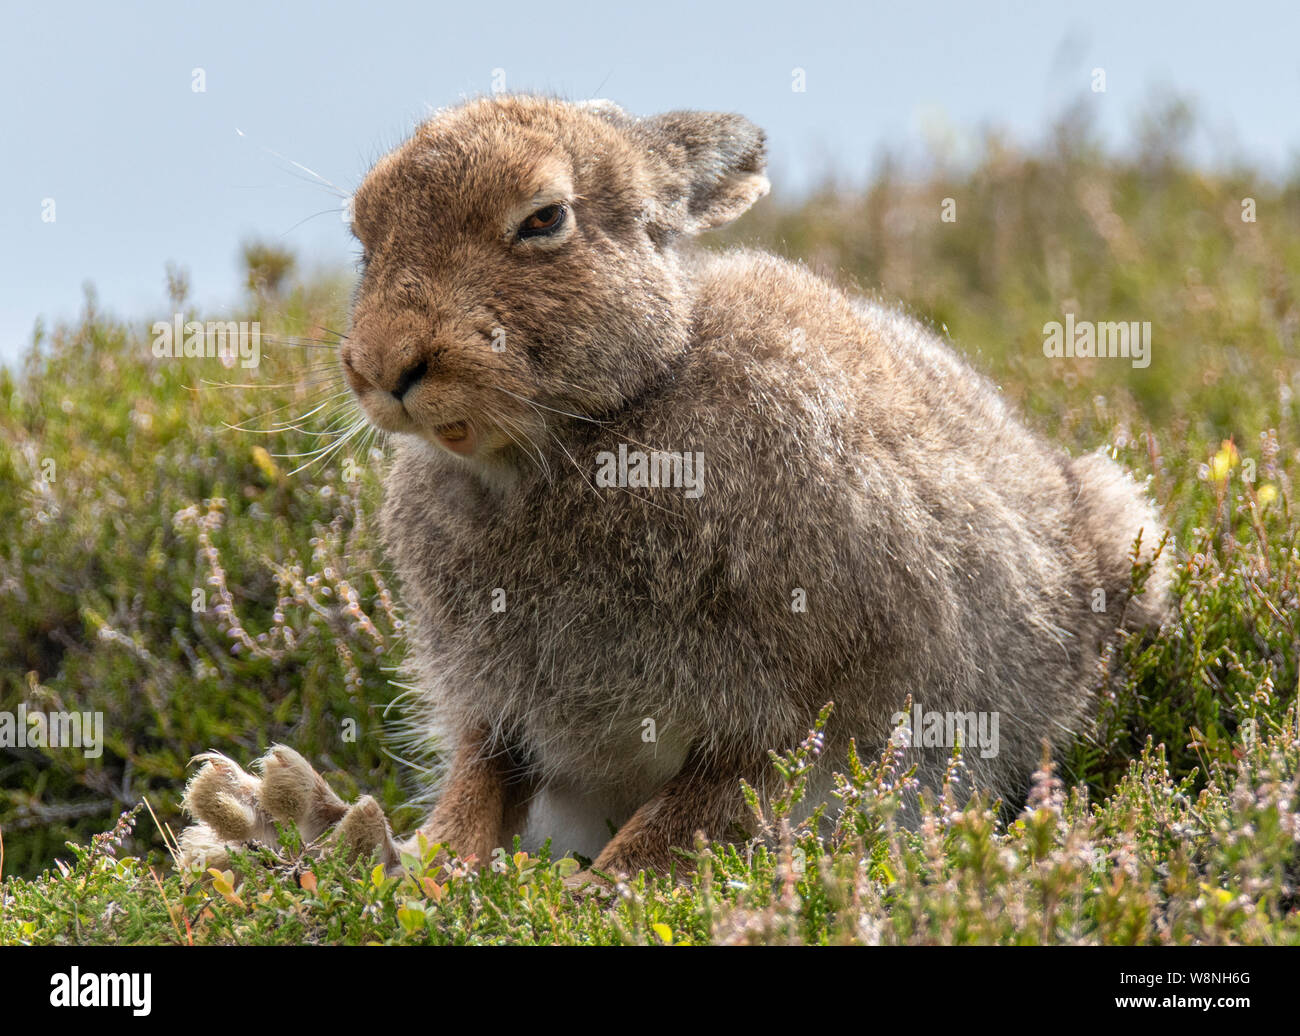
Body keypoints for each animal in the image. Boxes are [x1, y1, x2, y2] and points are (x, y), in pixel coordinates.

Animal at [178, 94, 1172, 883]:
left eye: (545, 220)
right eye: (364, 233)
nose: (384, 365)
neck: (584, 437)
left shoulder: (797, 702)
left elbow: (689, 815)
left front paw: (590, 891)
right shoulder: (497, 709)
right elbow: (480, 786)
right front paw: (435, 865)